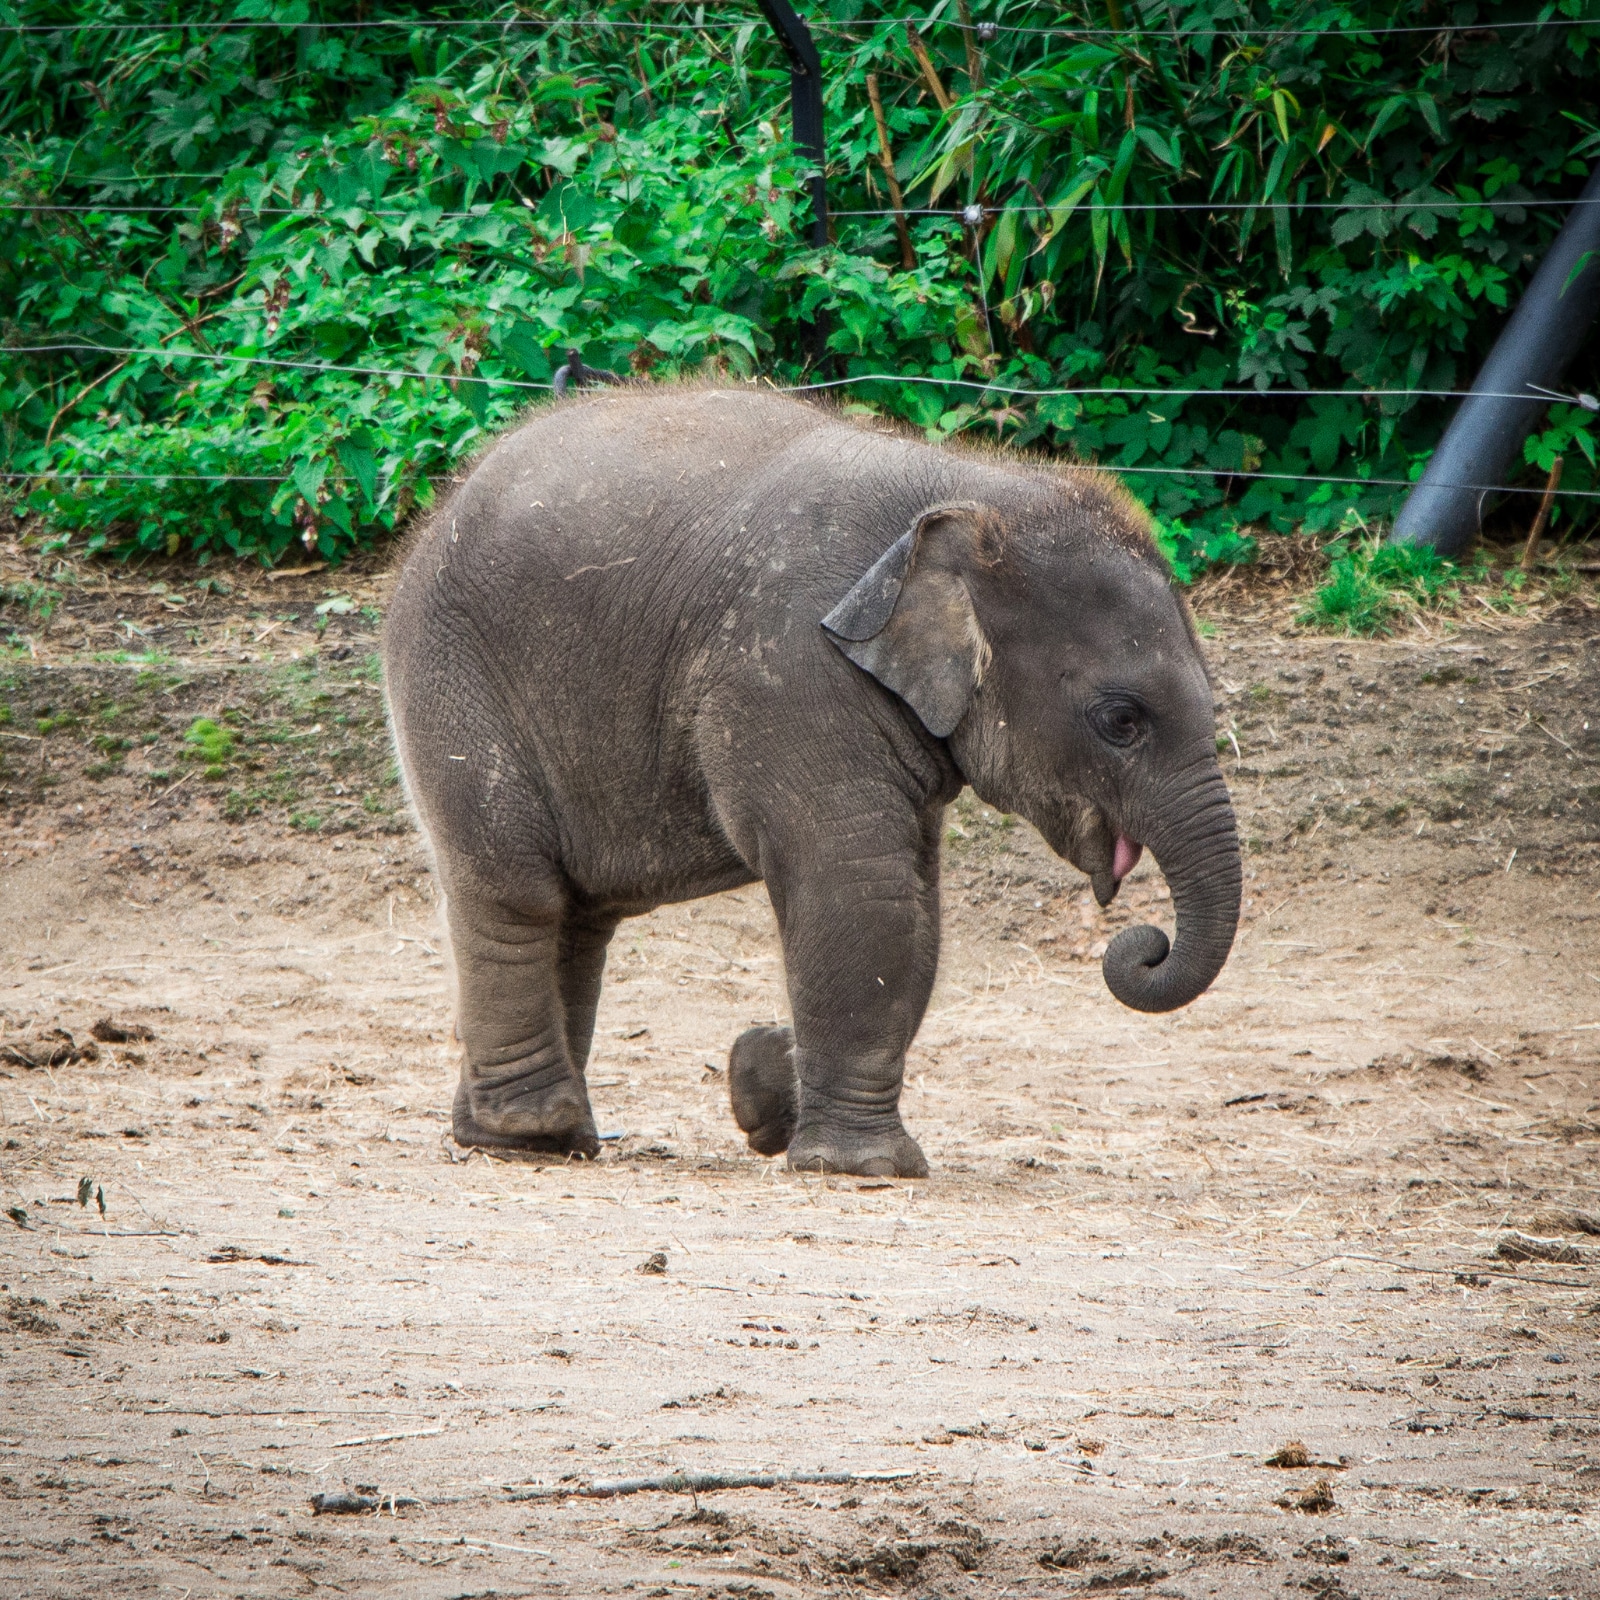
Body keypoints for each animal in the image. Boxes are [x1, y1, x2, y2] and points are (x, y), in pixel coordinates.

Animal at [383, 386, 1241, 1177]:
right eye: (1120, 720)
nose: (1145, 944)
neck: (975, 492)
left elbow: (916, 908)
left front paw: (762, 1082)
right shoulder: (791, 669)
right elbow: (862, 887)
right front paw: (864, 1167)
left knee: (580, 915)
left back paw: (526, 1136)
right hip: (451, 679)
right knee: (516, 889)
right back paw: (533, 1134)